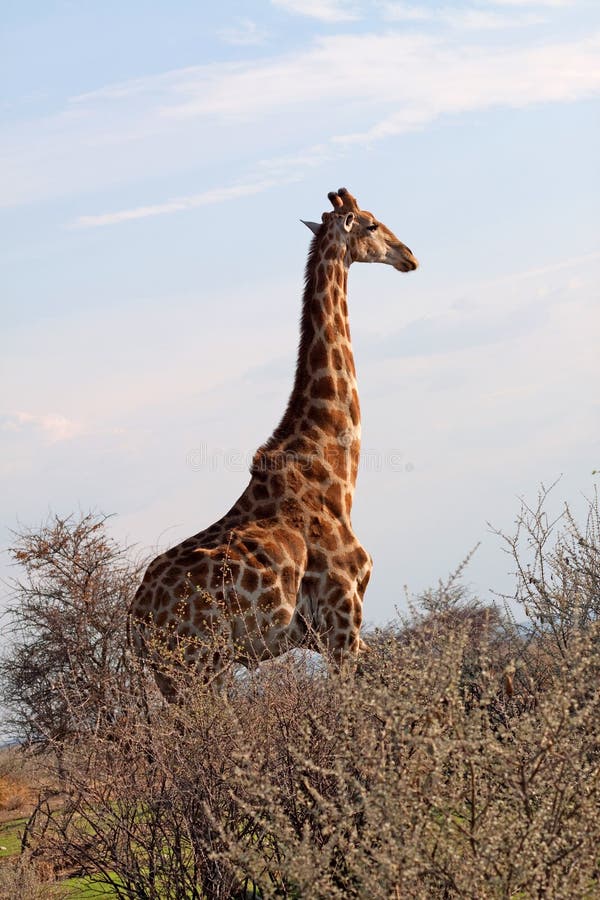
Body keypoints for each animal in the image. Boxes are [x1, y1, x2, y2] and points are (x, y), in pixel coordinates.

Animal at [129, 187, 418, 698]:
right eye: (370, 224)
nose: (409, 257)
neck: (334, 467)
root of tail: (135, 623)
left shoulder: (330, 633)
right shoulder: (343, 619)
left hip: (174, 677)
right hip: (199, 667)